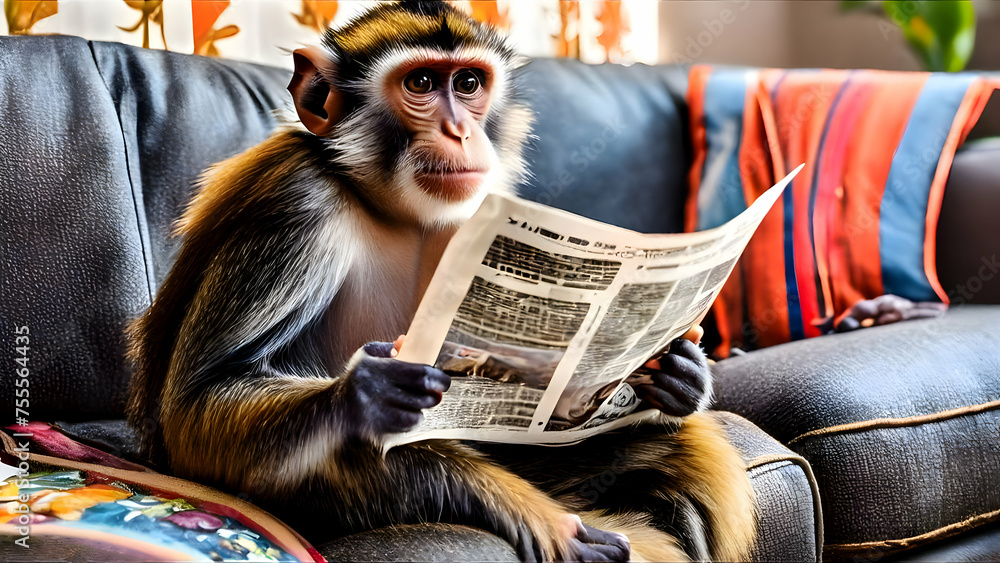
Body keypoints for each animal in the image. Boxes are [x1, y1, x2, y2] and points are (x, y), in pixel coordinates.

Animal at [126, 2, 755, 561]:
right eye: (423, 82)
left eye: (469, 83)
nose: (459, 129)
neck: (385, 204)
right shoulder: (298, 200)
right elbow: (201, 404)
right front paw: (367, 392)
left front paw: (681, 373)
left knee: (671, 443)